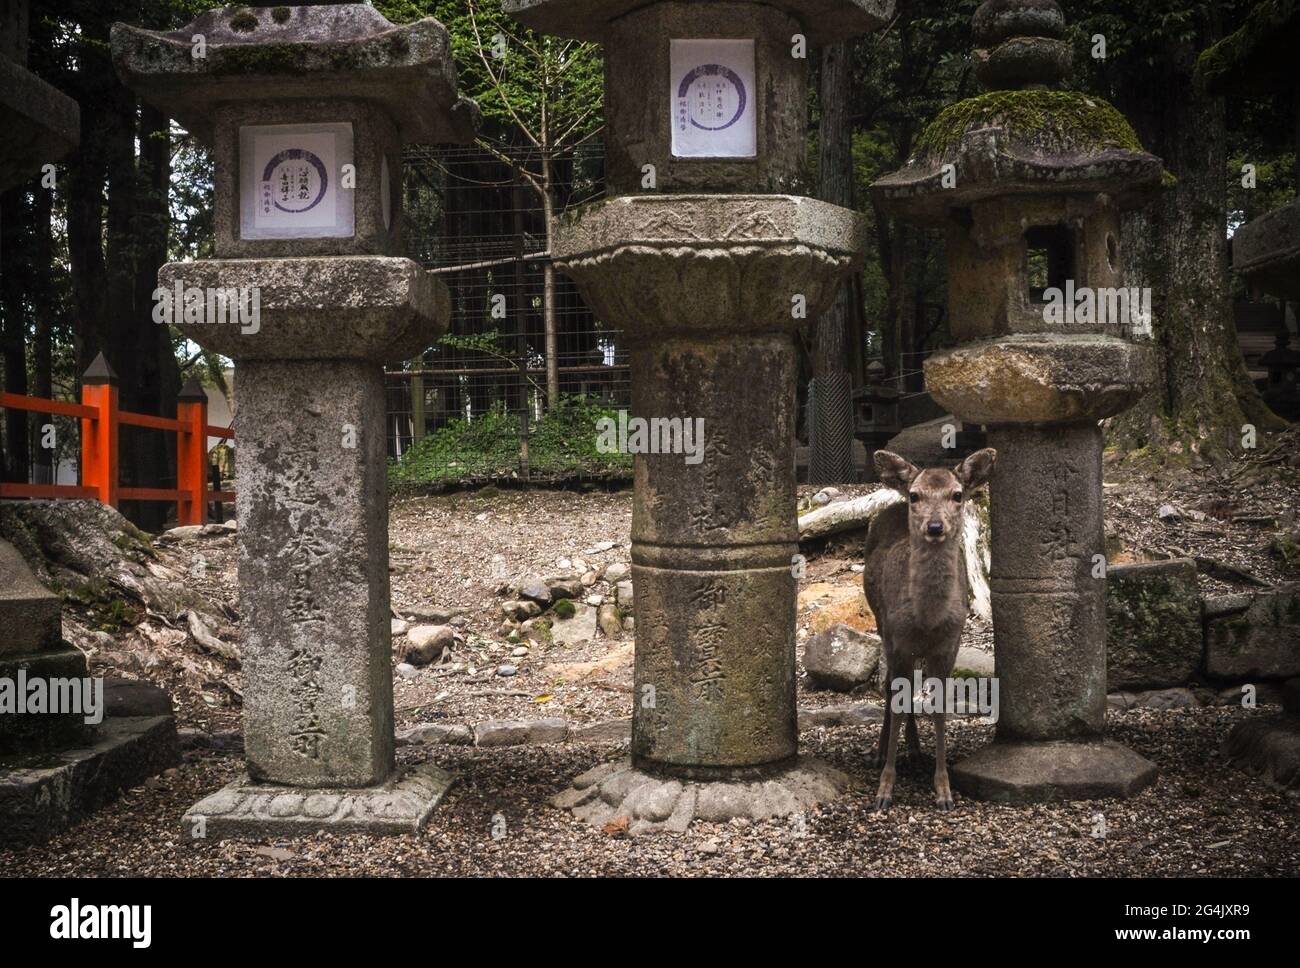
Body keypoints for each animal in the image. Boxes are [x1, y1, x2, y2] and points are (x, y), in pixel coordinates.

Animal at [863, 447, 996, 812]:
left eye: (957, 494)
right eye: (915, 495)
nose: (935, 526)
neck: (927, 621)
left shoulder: (949, 646)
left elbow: (939, 710)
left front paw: (944, 790)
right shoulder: (898, 641)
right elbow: (895, 697)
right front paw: (884, 790)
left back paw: (914, 749)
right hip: (880, 622)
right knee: (892, 686)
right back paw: (882, 752)